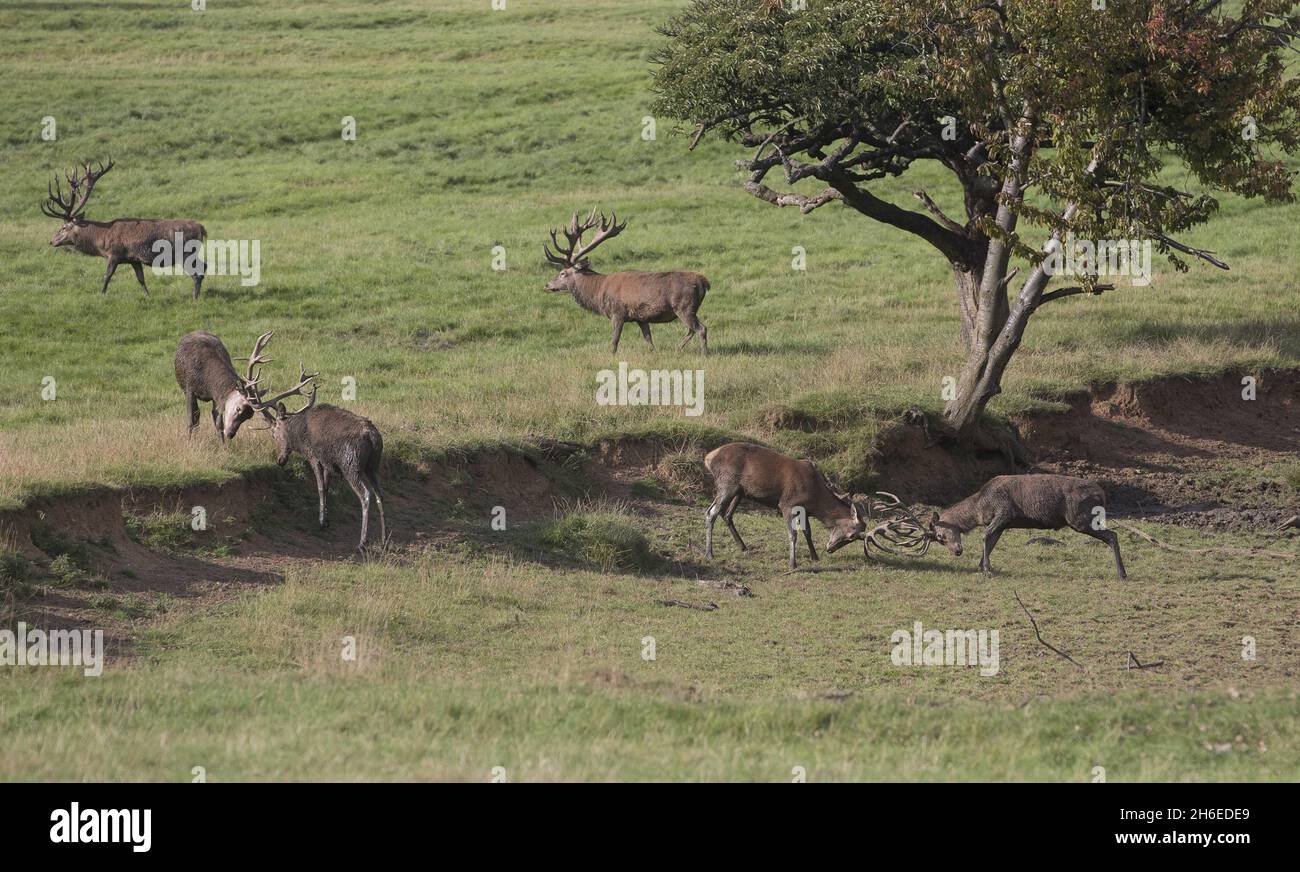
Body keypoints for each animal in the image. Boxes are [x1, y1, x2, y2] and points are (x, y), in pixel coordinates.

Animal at [42, 159, 207, 298]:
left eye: (64, 227)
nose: (51, 241)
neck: (101, 239)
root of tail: (202, 228)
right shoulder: (134, 259)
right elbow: (141, 279)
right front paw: (148, 296)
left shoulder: (114, 254)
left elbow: (107, 276)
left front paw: (101, 294)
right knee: (203, 267)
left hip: (185, 253)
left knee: (197, 273)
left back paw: (195, 298)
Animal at [251, 367, 387, 551]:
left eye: (274, 433)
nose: (280, 460)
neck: (299, 436)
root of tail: (373, 437)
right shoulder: (329, 463)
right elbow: (327, 487)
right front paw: (327, 519)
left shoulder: (314, 457)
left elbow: (320, 488)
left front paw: (321, 522)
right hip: (373, 466)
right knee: (380, 495)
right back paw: (384, 539)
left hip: (352, 465)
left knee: (366, 494)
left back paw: (362, 542)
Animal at [544, 209, 710, 353]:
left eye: (562, 273)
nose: (547, 285)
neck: (598, 291)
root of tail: (704, 282)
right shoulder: (641, 318)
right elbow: (648, 339)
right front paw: (654, 352)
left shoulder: (617, 312)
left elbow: (615, 340)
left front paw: (611, 355)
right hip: (690, 308)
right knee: (692, 329)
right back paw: (677, 348)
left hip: (684, 306)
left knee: (701, 328)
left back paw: (704, 353)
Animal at [703, 442, 930, 569]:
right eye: (851, 535)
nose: (830, 549)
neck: (815, 494)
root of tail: (708, 457)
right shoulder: (786, 504)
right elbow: (793, 534)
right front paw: (793, 563)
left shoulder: (805, 509)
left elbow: (808, 531)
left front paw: (815, 557)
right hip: (727, 484)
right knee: (711, 513)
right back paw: (709, 554)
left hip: (740, 491)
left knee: (726, 514)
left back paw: (743, 547)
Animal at [926, 474, 1128, 579]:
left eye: (941, 536)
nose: (957, 551)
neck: (981, 508)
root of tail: (1102, 494)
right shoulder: (1003, 523)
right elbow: (991, 542)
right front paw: (983, 567)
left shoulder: (1004, 512)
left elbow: (985, 535)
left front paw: (986, 569)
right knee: (1112, 535)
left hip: (1081, 519)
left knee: (1112, 535)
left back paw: (1121, 573)